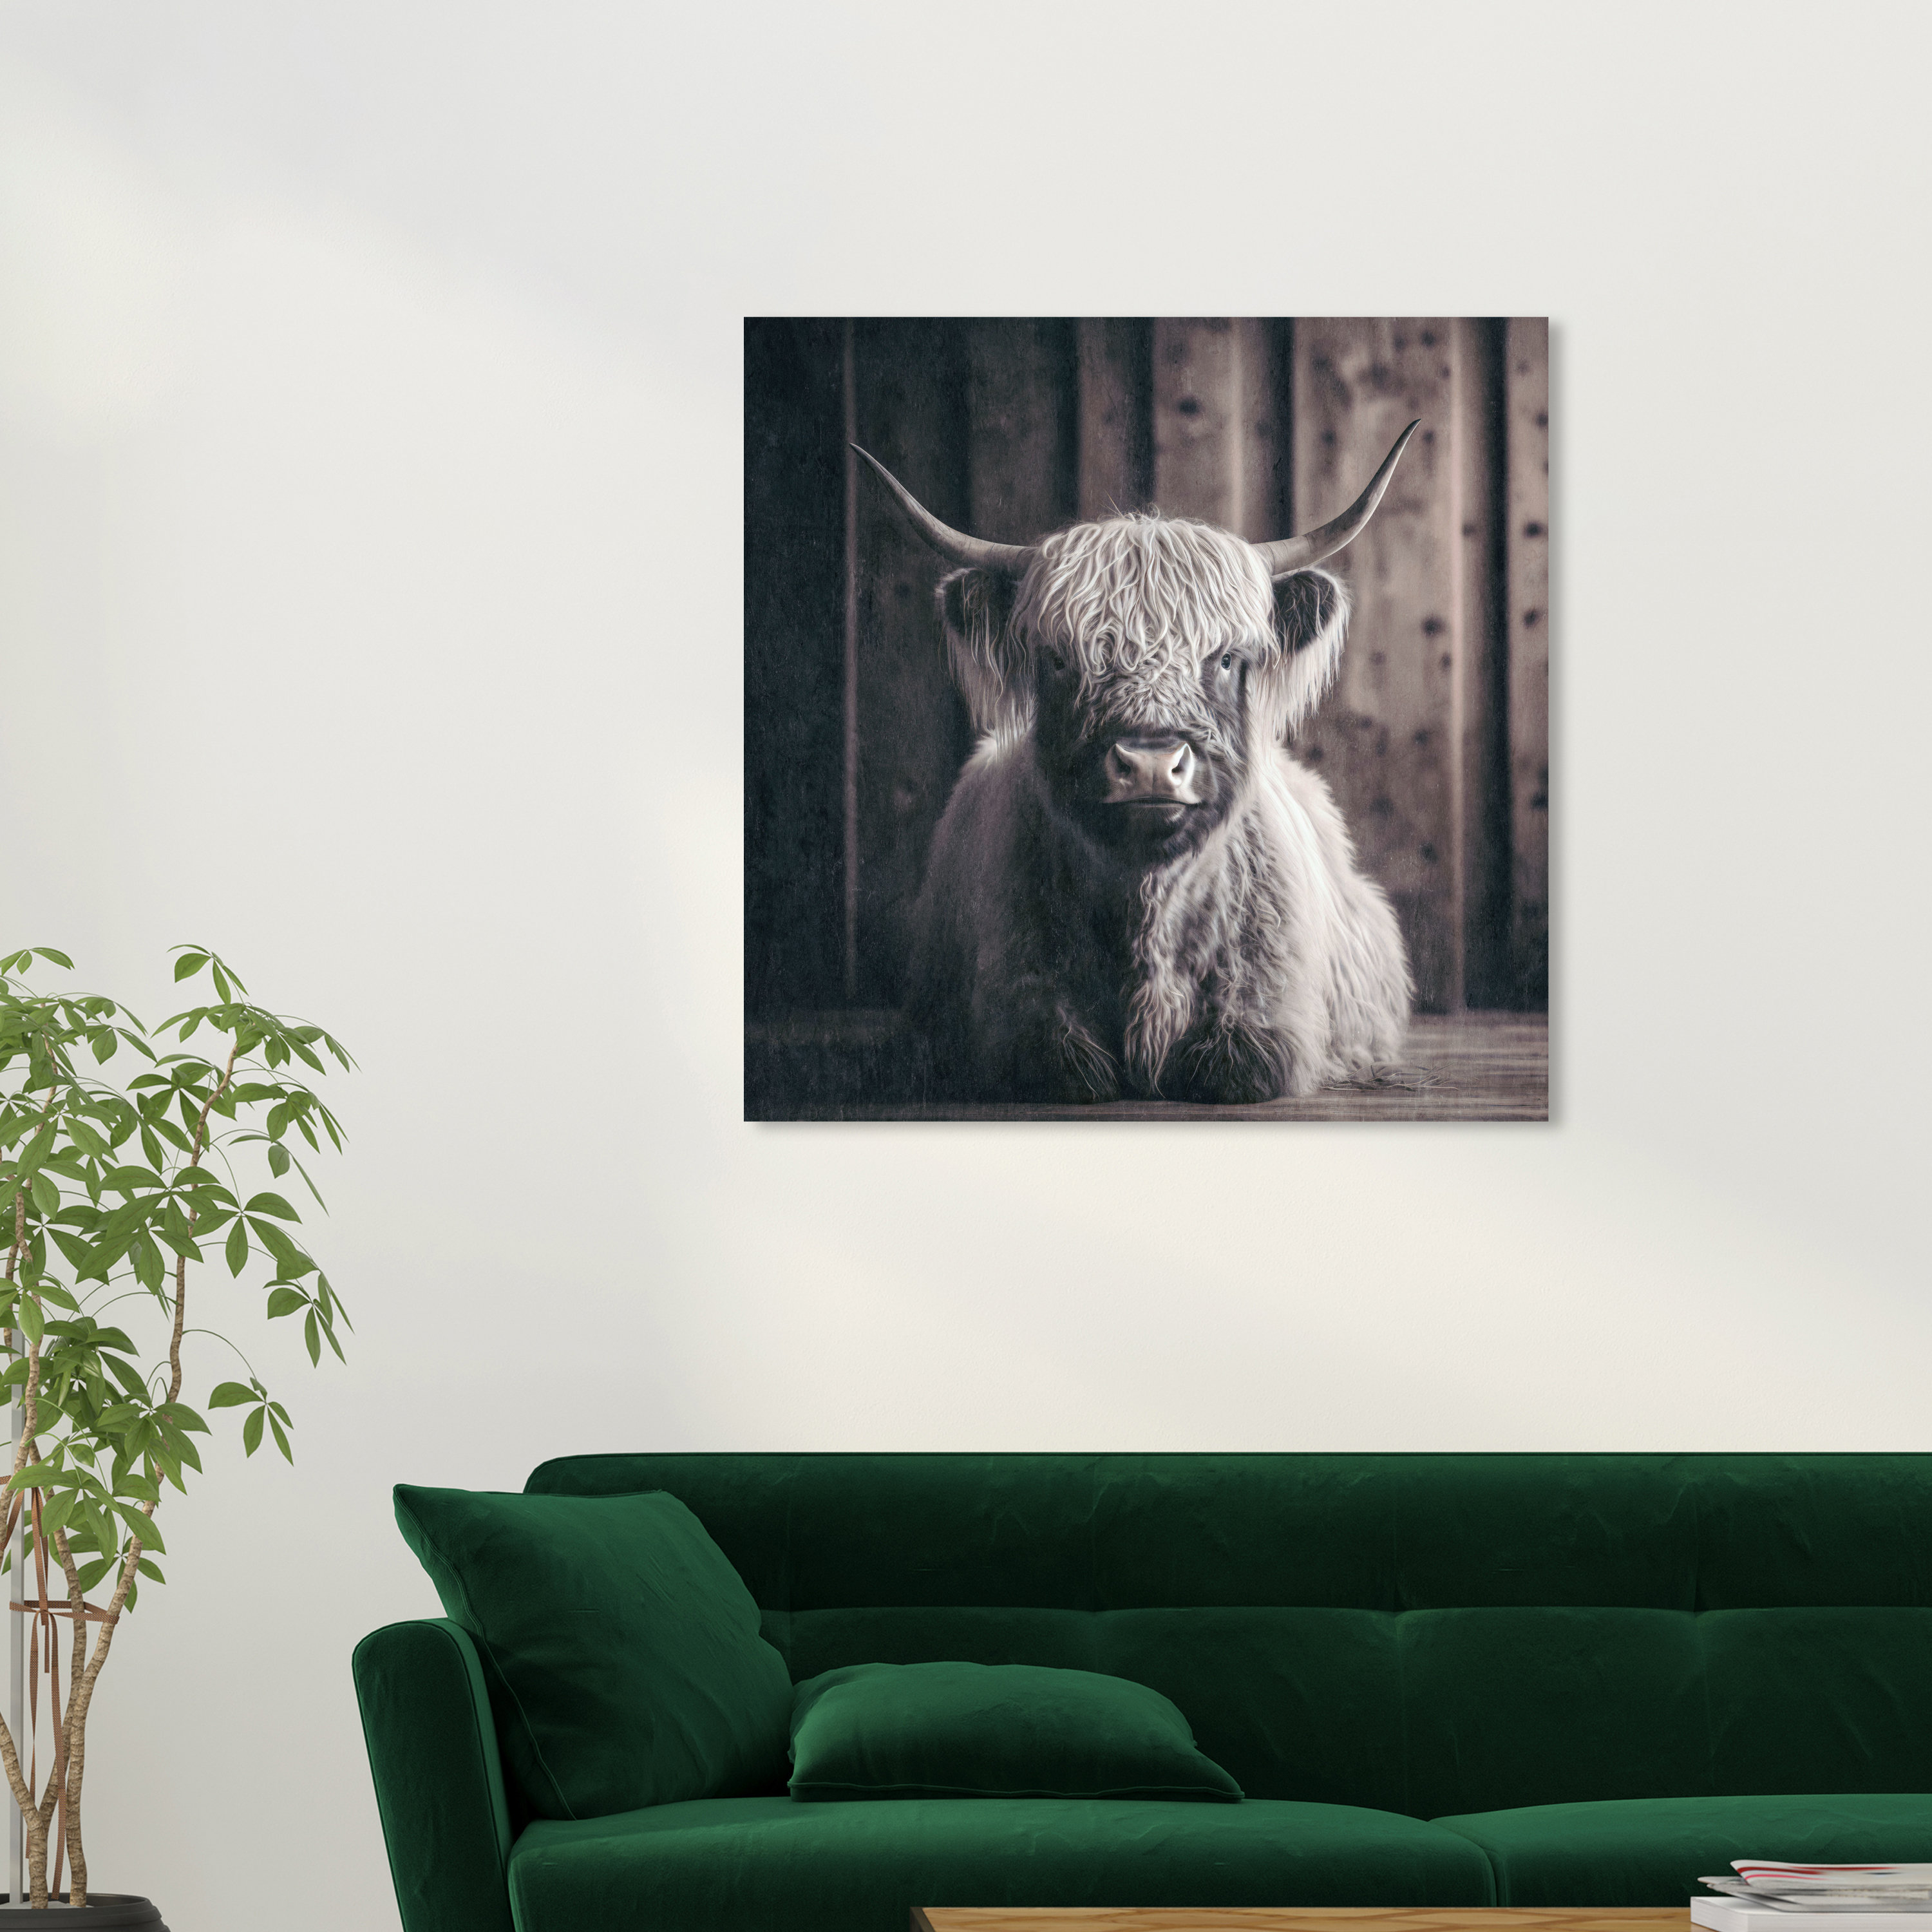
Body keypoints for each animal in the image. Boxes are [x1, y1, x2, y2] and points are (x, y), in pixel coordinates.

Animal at [856, 426, 1419, 1104]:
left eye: (1225, 657)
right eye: (1060, 659)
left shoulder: (1271, 1019)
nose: (1151, 765)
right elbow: (1061, 1063)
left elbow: (1236, 1065)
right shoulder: (1018, 1014)